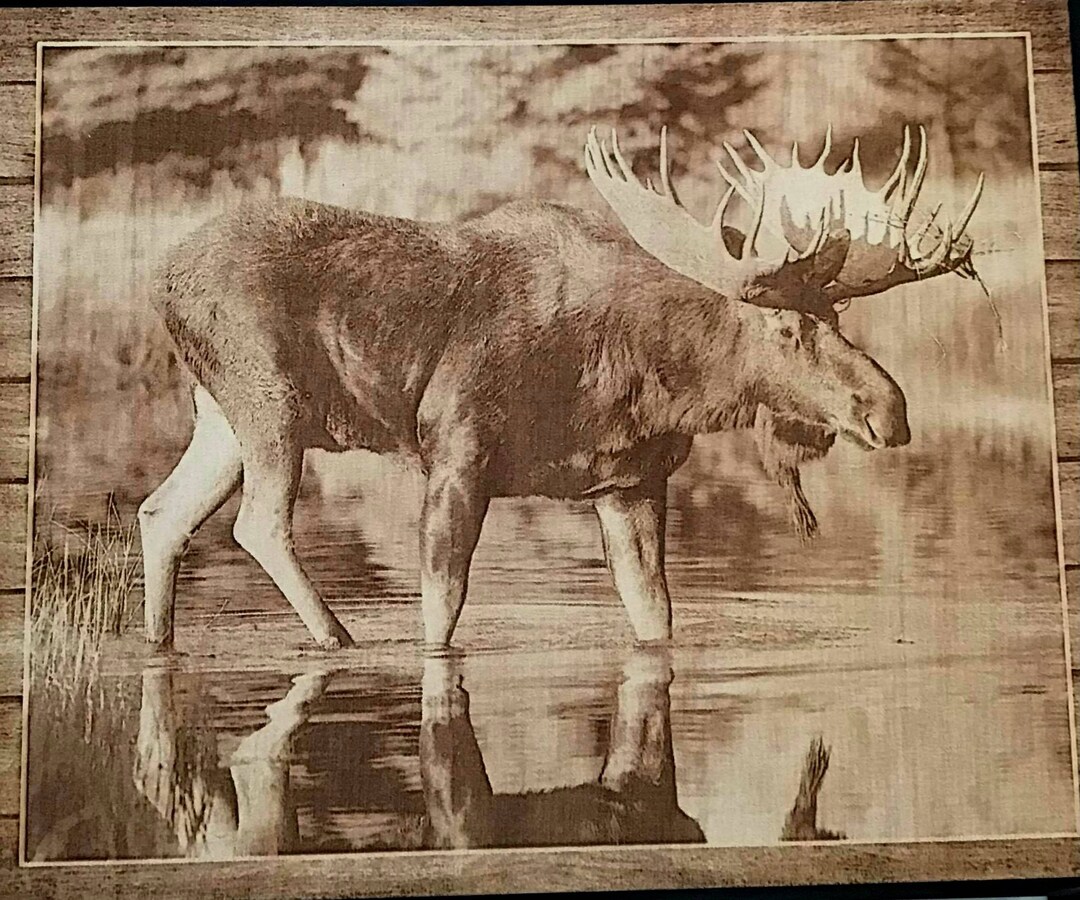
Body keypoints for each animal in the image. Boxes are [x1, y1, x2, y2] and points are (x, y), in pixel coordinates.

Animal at [138, 125, 982, 651]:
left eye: (838, 314)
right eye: (786, 326)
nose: (890, 410)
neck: (645, 376)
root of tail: (161, 277)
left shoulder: (630, 481)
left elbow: (654, 616)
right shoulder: (457, 453)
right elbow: (441, 612)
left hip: (219, 415)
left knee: (161, 510)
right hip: (267, 401)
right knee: (257, 524)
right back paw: (337, 638)